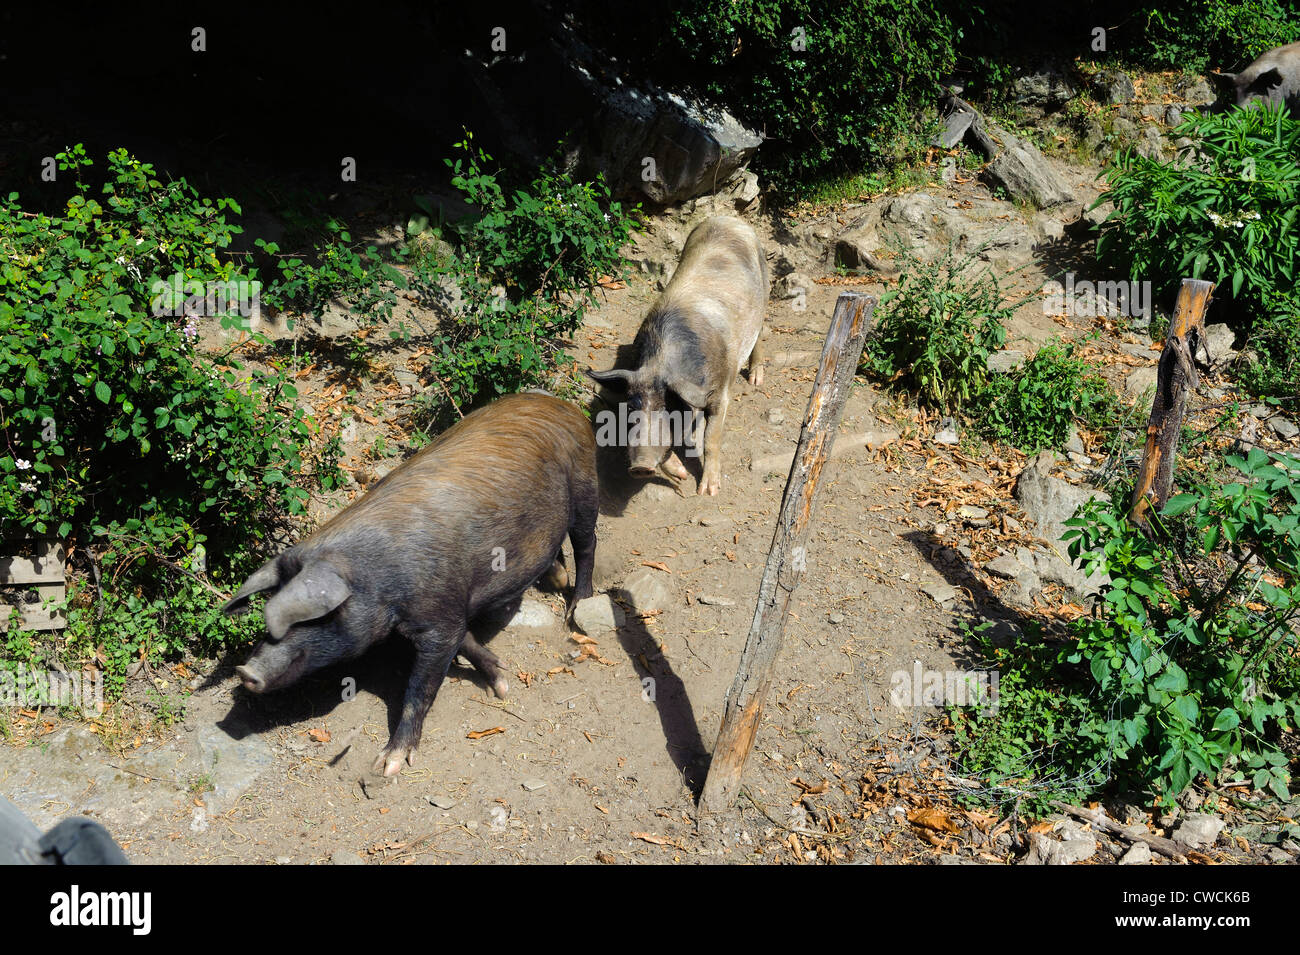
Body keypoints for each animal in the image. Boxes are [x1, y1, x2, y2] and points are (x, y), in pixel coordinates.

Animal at [221, 392, 597, 777]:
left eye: (316, 617)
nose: (245, 671)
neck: (378, 583)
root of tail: (564, 406)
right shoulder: (449, 610)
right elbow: (467, 640)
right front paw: (502, 681)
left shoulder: (439, 617)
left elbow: (421, 688)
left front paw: (388, 765)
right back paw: (557, 577)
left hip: (586, 485)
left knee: (587, 543)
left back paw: (576, 609)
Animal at [588, 215, 768, 496]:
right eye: (632, 407)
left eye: (667, 406)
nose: (640, 467)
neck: (660, 364)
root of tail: (727, 217)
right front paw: (681, 475)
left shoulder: (721, 390)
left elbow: (711, 439)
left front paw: (707, 492)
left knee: (761, 330)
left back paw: (756, 380)